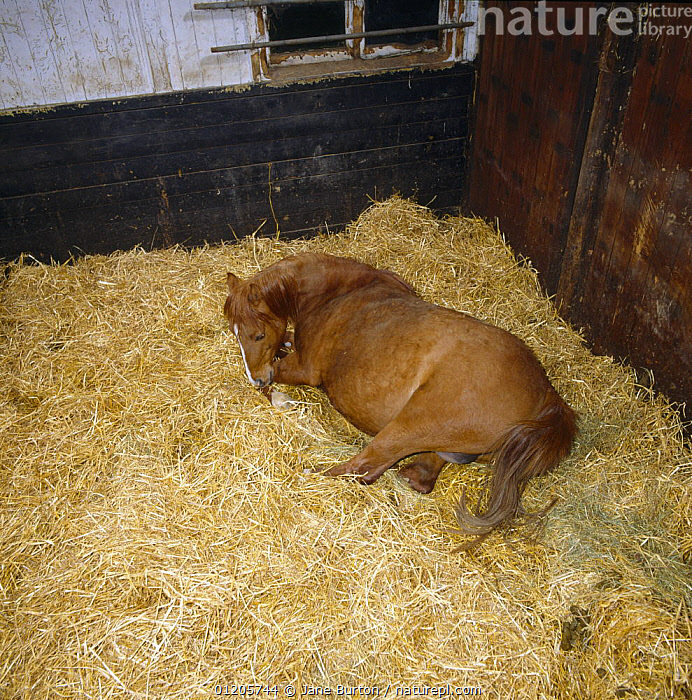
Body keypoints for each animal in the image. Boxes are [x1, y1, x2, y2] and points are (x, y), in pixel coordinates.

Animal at [224, 252, 577, 543]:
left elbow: (277, 375)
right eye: (235, 333)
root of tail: (547, 400)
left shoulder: (304, 368)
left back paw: (311, 474)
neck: (338, 295)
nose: (256, 377)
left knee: (365, 468)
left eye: (258, 334)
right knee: (422, 474)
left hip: (409, 425)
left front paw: (280, 397)